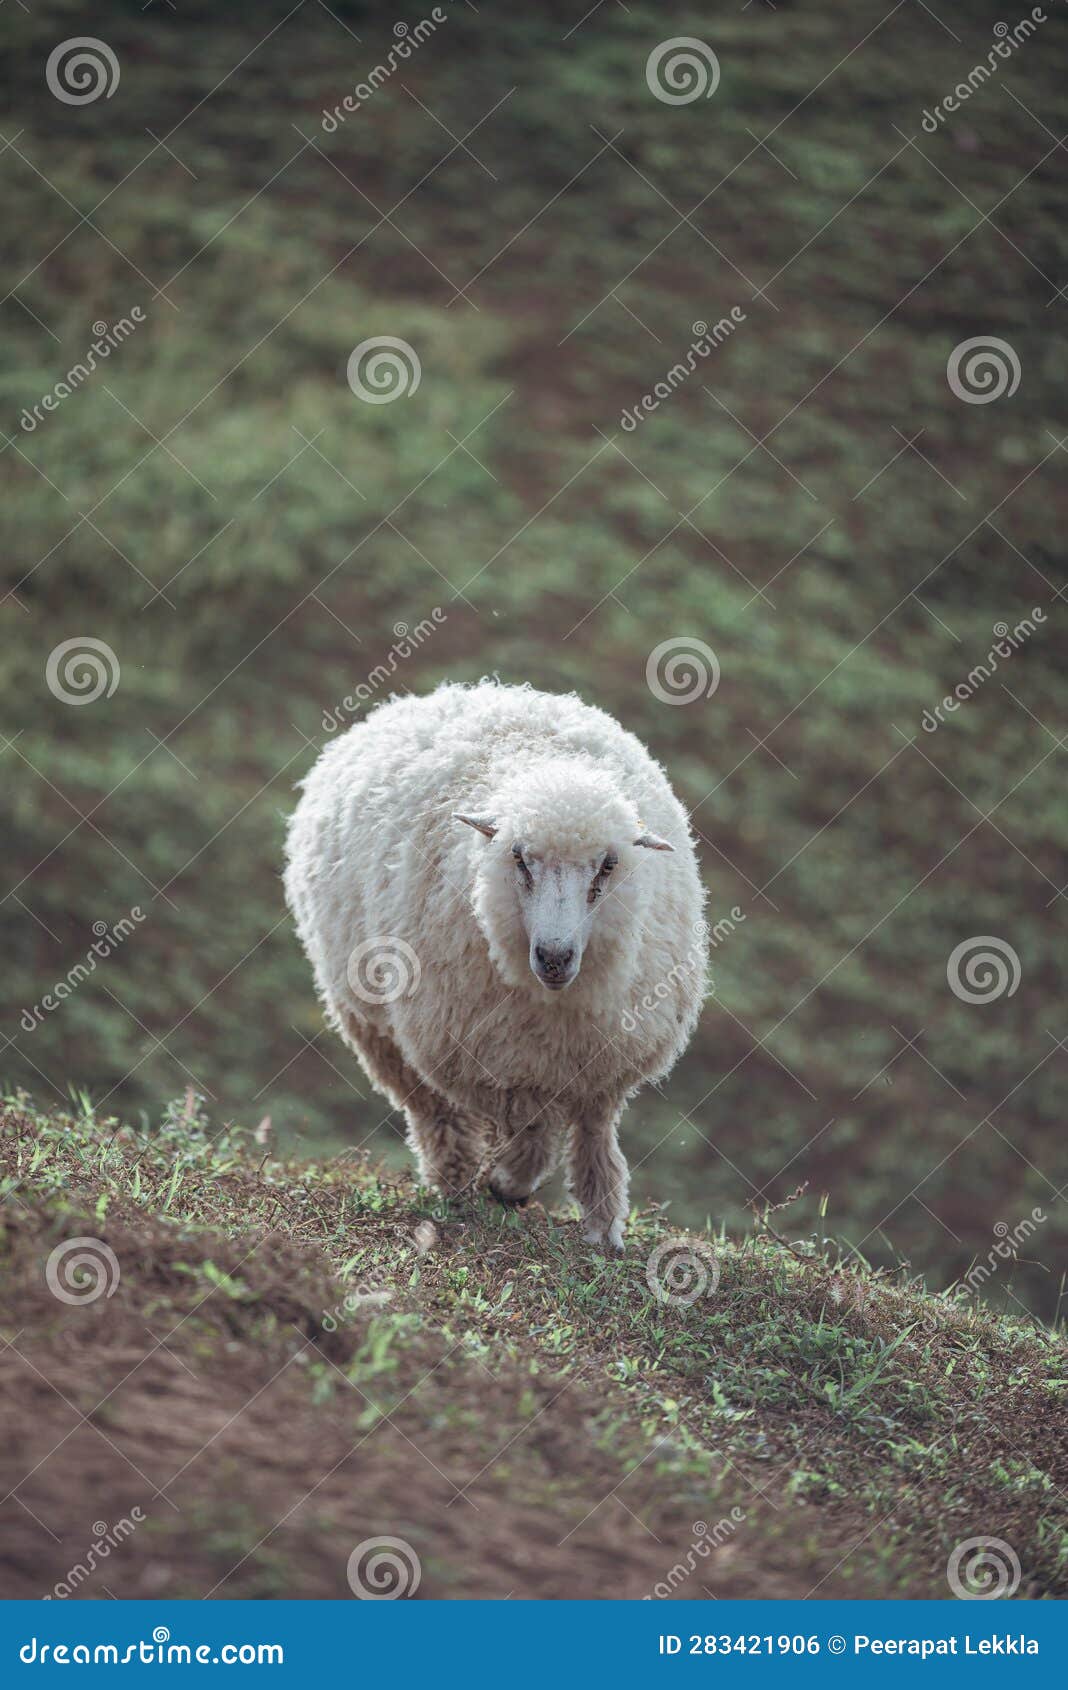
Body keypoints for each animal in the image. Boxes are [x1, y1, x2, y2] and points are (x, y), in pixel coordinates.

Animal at [283, 680, 708, 1250]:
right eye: (520, 858)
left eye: (608, 865)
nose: (554, 956)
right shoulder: (497, 1060)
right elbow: (530, 1124)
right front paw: (510, 1183)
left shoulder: (604, 1062)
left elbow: (592, 1132)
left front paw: (603, 1226)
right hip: (372, 1021)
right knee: (429, 1107)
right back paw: (455, 1179)